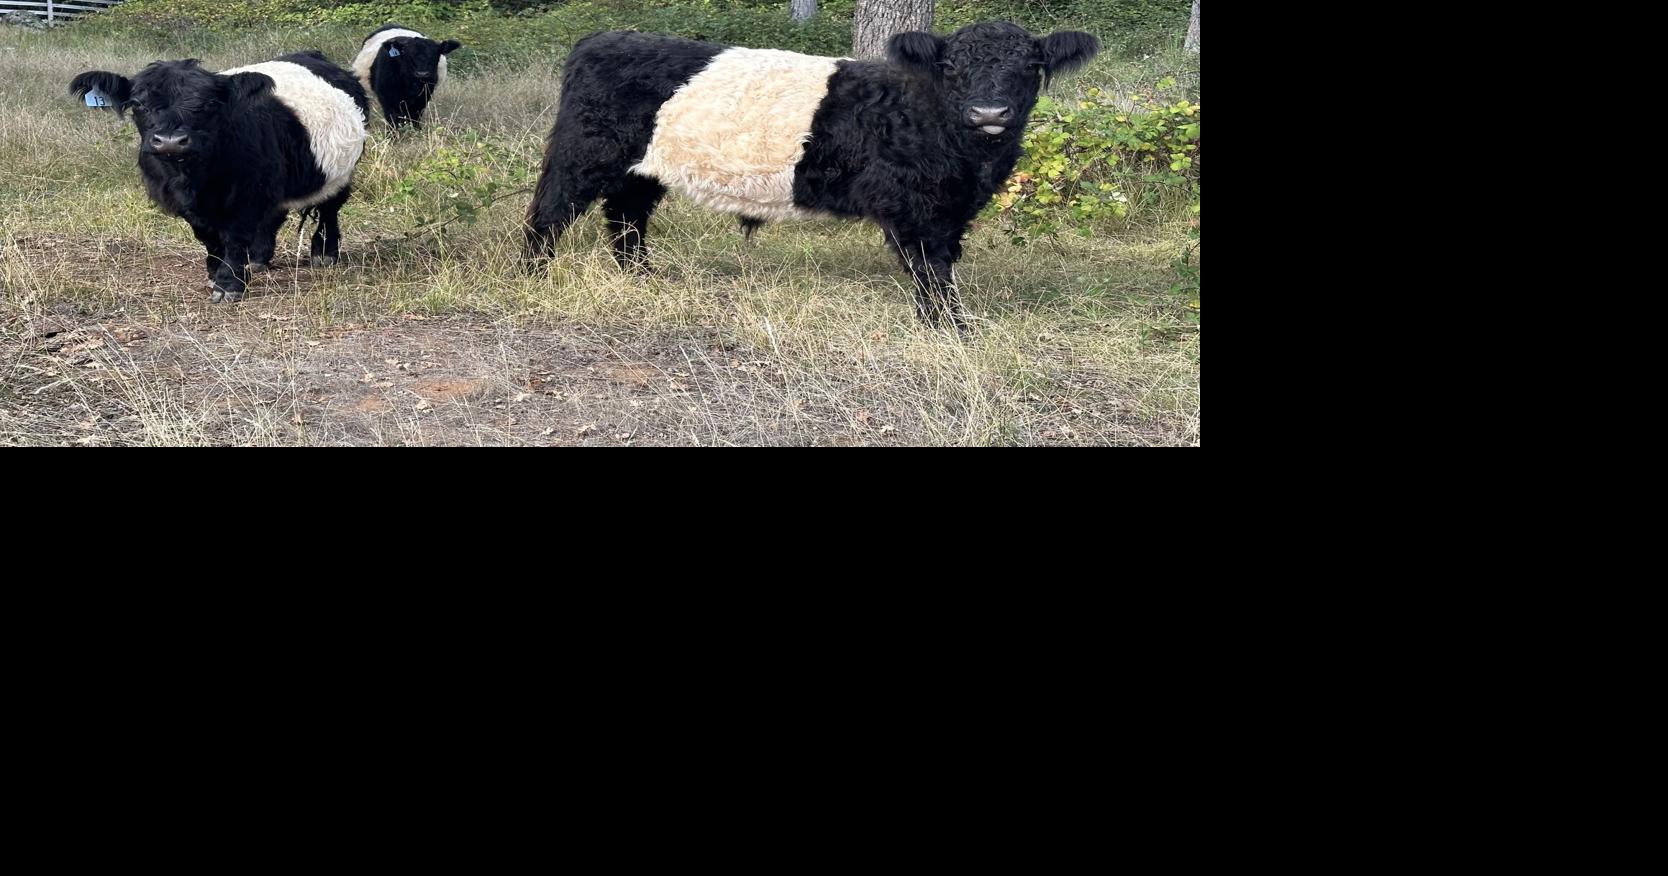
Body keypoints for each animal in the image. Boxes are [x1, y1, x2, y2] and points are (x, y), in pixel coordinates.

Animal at [71, 52, 369, 303]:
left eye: (208, 104)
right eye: (137, 104)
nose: (170, 141)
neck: (194, 181)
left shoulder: (246, 195)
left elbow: (234, 237)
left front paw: (229, 284)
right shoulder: (188, 203)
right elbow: (209, 238)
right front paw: (216, 272)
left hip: (341, 172)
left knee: (330, 209)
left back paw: (325, 253)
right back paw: (258, 258)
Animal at [524, 23, 1100, 331]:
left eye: (1031, 66)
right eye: (951, 65)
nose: (989, 113)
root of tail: (601, 38)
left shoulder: (951, 209)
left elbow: (942, 265)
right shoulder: (919, 209)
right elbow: (931, 270)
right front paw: (948, 328)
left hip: (642, 170)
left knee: (627, 218)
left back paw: (642, 279)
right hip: (583, 154)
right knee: (550, 213)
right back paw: (534, 277)